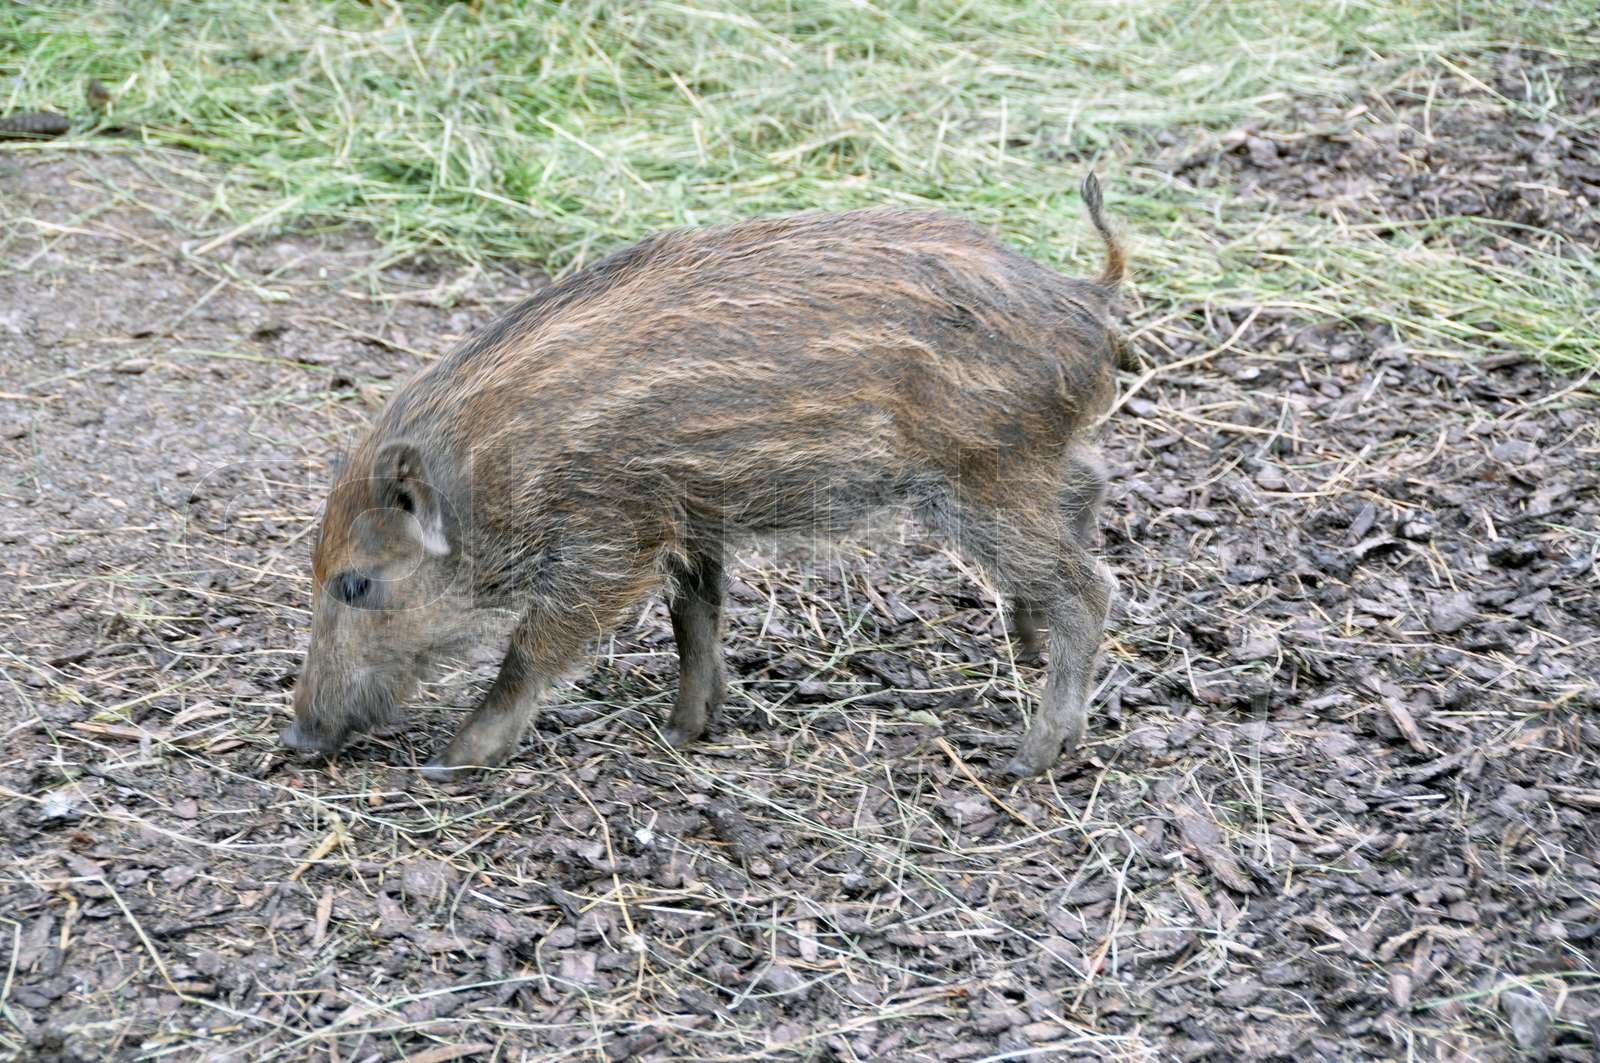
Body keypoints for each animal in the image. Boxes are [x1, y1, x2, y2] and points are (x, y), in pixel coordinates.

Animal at [281, 174, 1132, 780]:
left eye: (355, 582)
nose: (298, 734)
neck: (496, 471)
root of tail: (1087, 295)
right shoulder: (689, 516)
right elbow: (695, 615)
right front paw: (687, 729)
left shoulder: (611, 539)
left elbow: (532, 646)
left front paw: (452, 760)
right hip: (1022, 468)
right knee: (1090, 484)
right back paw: (1024, 643)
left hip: (983, 477)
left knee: (1089, 584)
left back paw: (1032, 755)